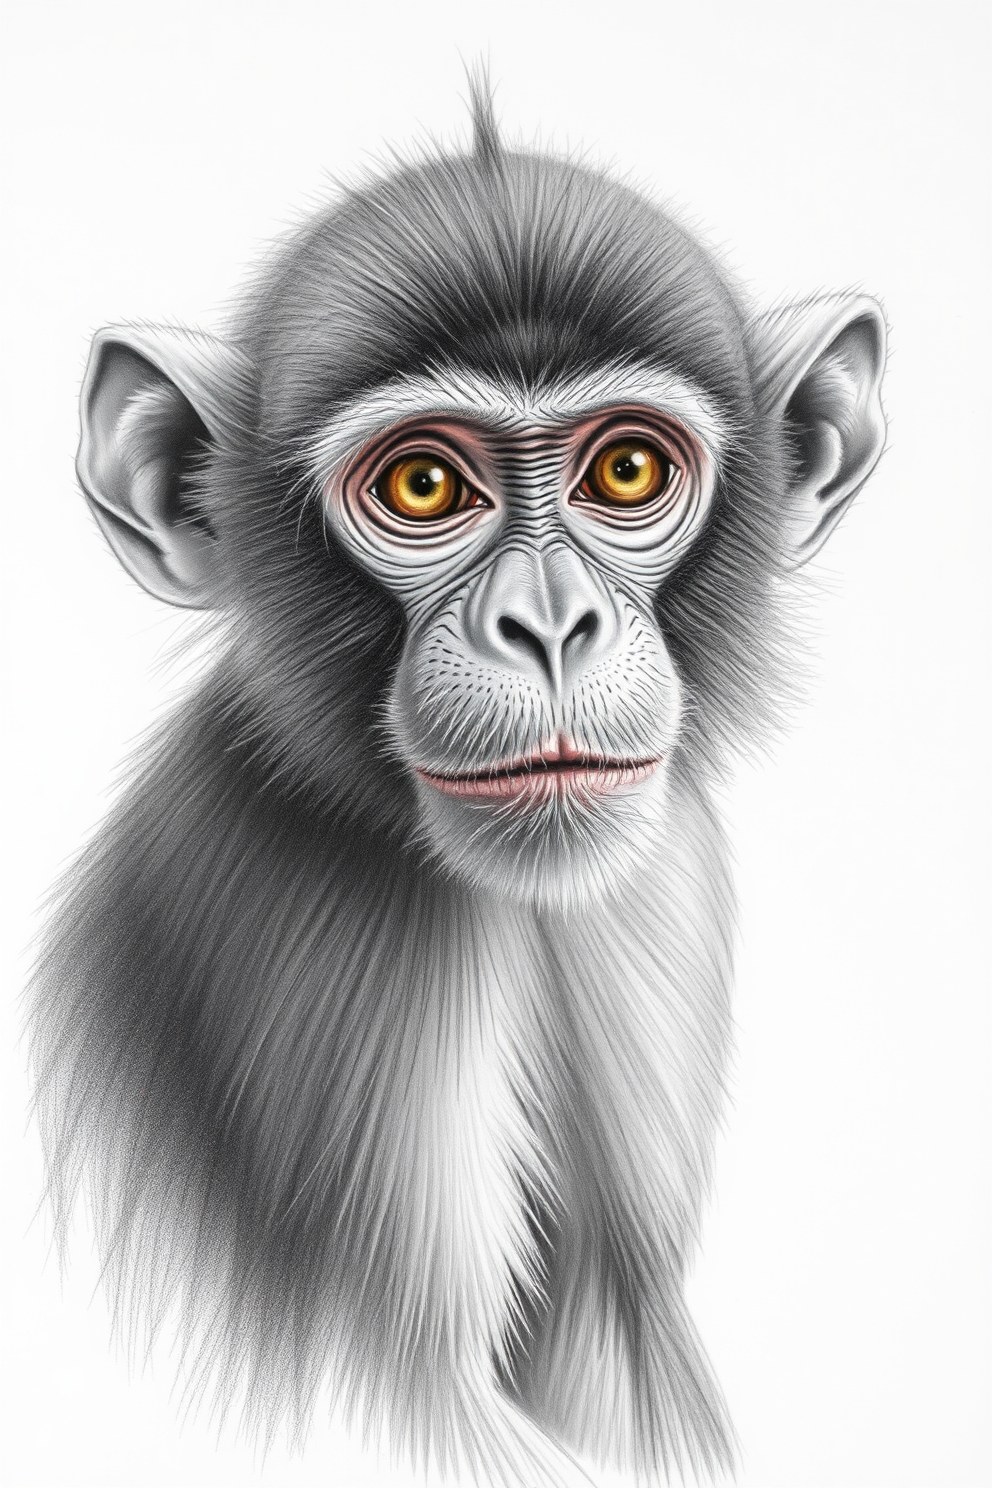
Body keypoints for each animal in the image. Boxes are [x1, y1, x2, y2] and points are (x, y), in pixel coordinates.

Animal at [28, 75, 886, 1488]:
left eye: (626, 470)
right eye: (424, 483)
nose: (547, 626)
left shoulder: (658, 895)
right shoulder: (356, 973)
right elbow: (394, 1392)